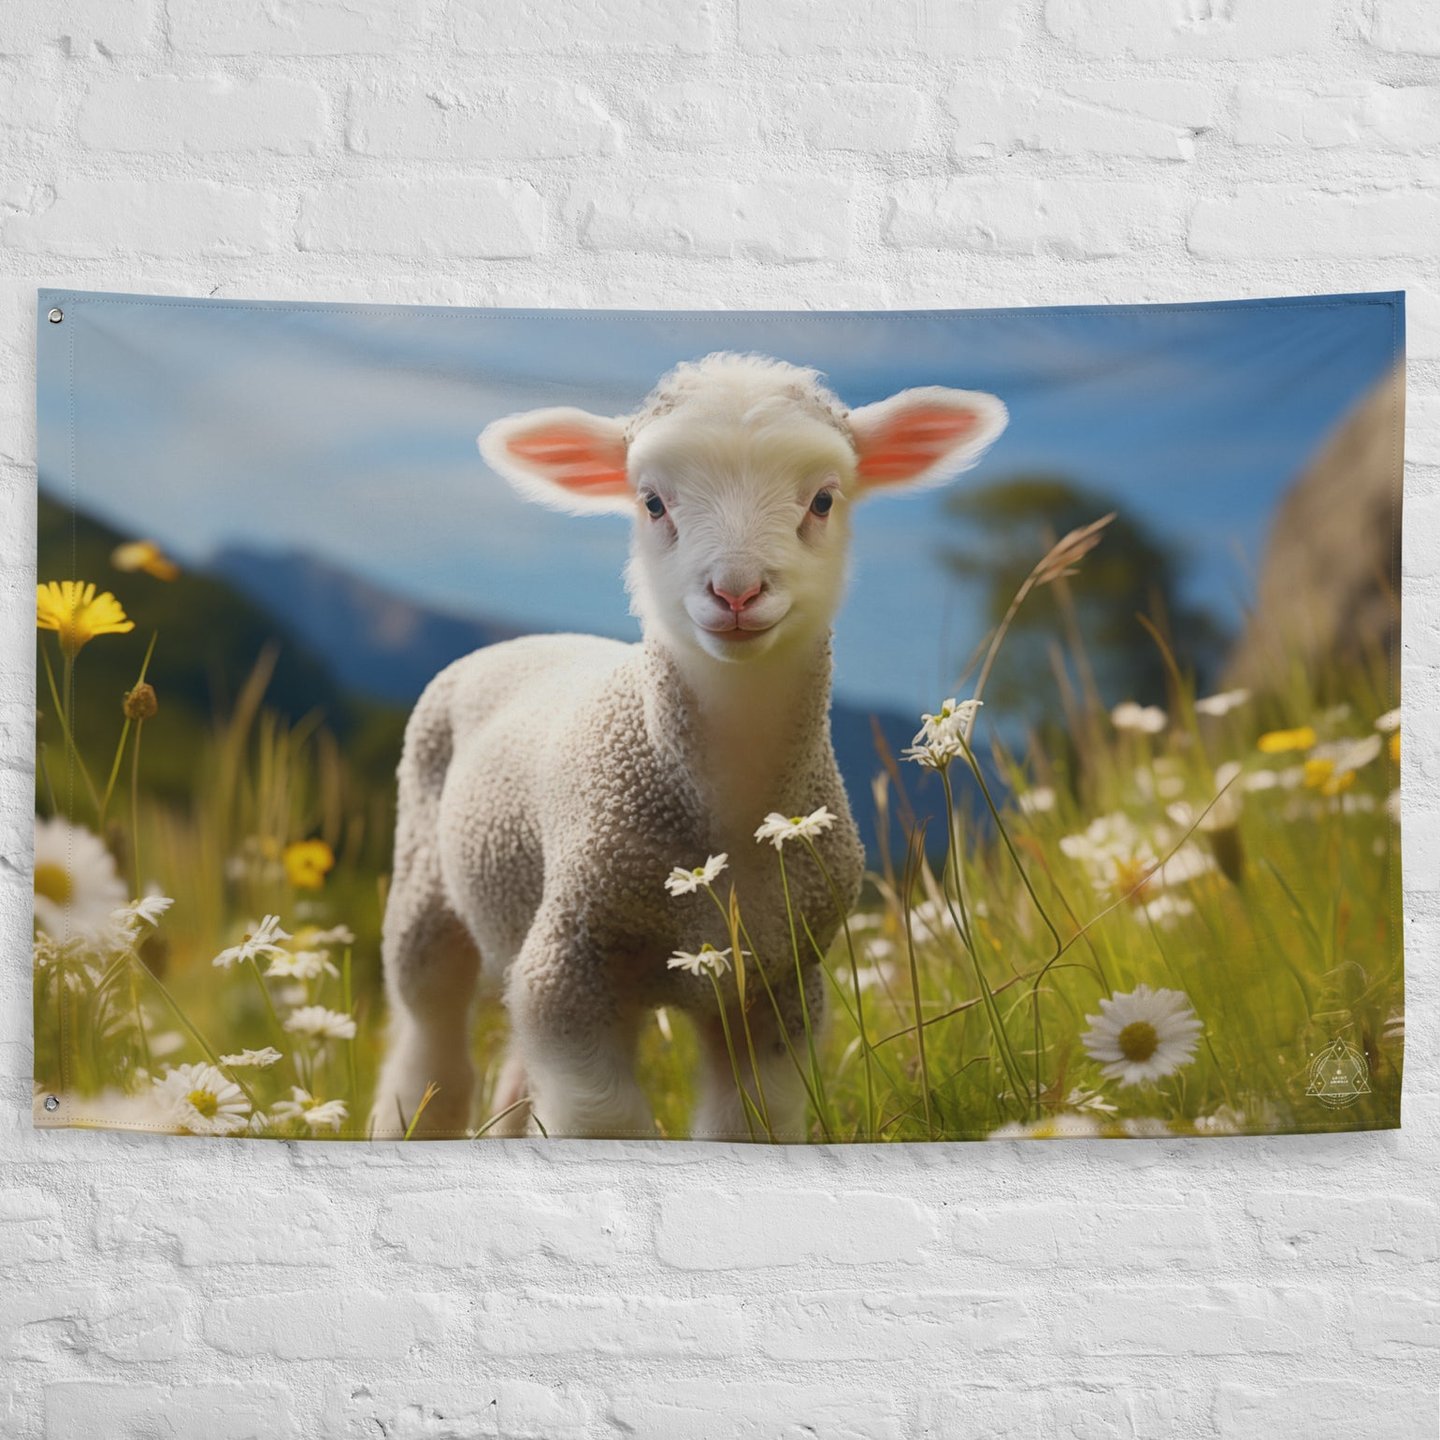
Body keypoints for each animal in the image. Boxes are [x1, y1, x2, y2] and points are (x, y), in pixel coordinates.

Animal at [370, 352, 1007, 1140]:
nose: (735, 591)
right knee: (429, 1048)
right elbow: (603, 1121)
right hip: (427, 886)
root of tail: (527, 639)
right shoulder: (574, 956)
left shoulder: (780, 980)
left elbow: (751, 1121)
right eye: (651, 503)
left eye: (823, 500)